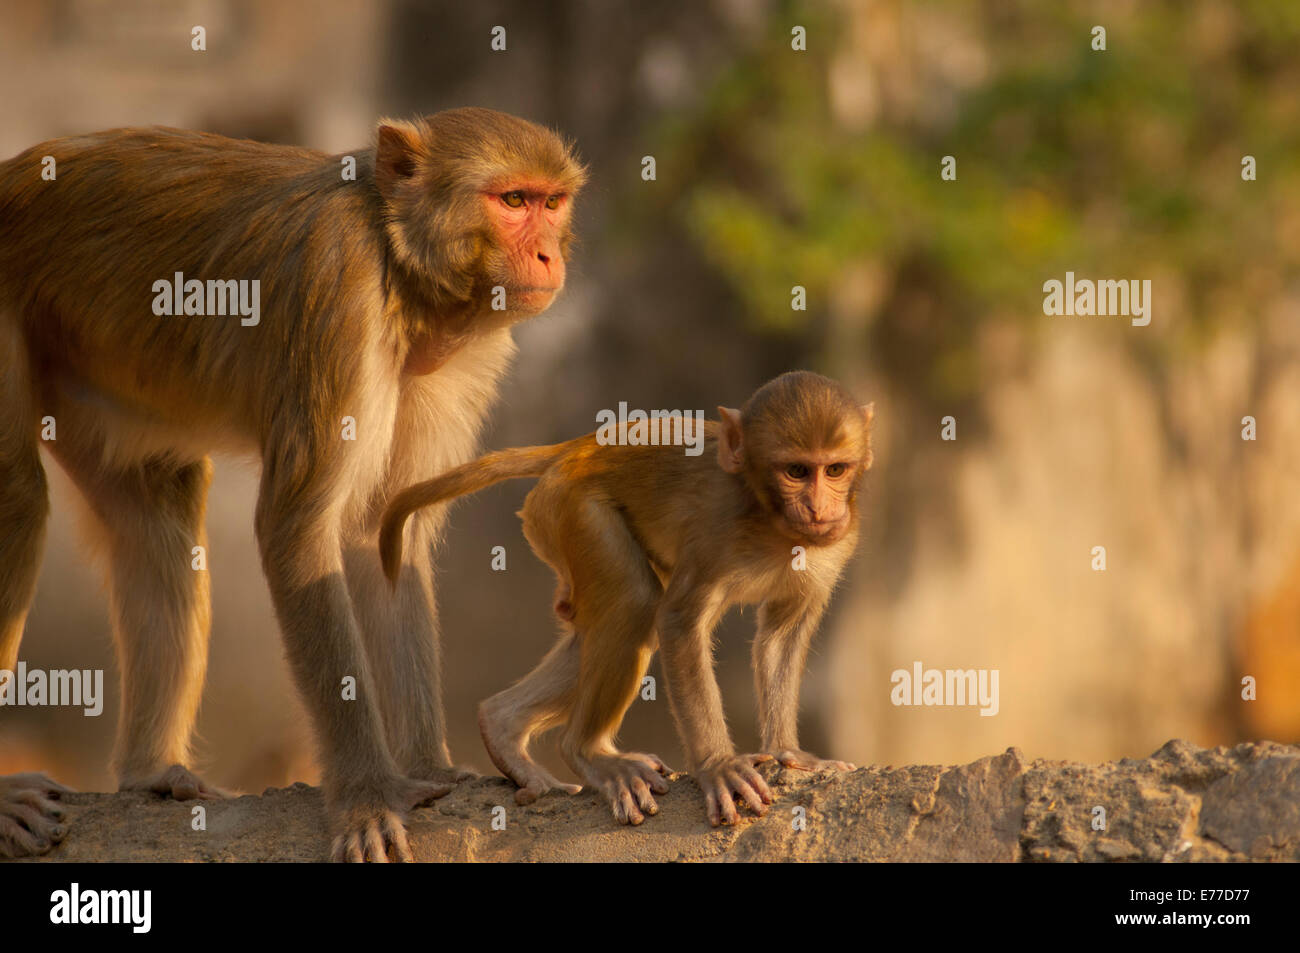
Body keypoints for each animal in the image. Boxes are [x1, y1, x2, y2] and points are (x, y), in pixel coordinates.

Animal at [0, 107, 586, 861]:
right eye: (513, 201)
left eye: (553, 202)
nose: (547, 256)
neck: (403, 275)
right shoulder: (339, 287)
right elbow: (298, 531)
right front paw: (368, 796)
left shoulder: (459, 358)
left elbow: (380, 535)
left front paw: (430, 765)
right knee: (17, 497)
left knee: (155, 518)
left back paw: (150, 771)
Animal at [380, 371, 872, 827]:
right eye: (796, 471)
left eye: (835, 470)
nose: (820, 509)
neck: (771, 519)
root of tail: (578, 450)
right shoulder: (717, 528)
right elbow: (678, 622)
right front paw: (718, 766)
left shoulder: (837, 545)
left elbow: (781, 636)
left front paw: (790, 752)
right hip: (573, 510)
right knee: (635, 603)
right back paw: (589, 752)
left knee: (604, 624)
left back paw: (501, 725)